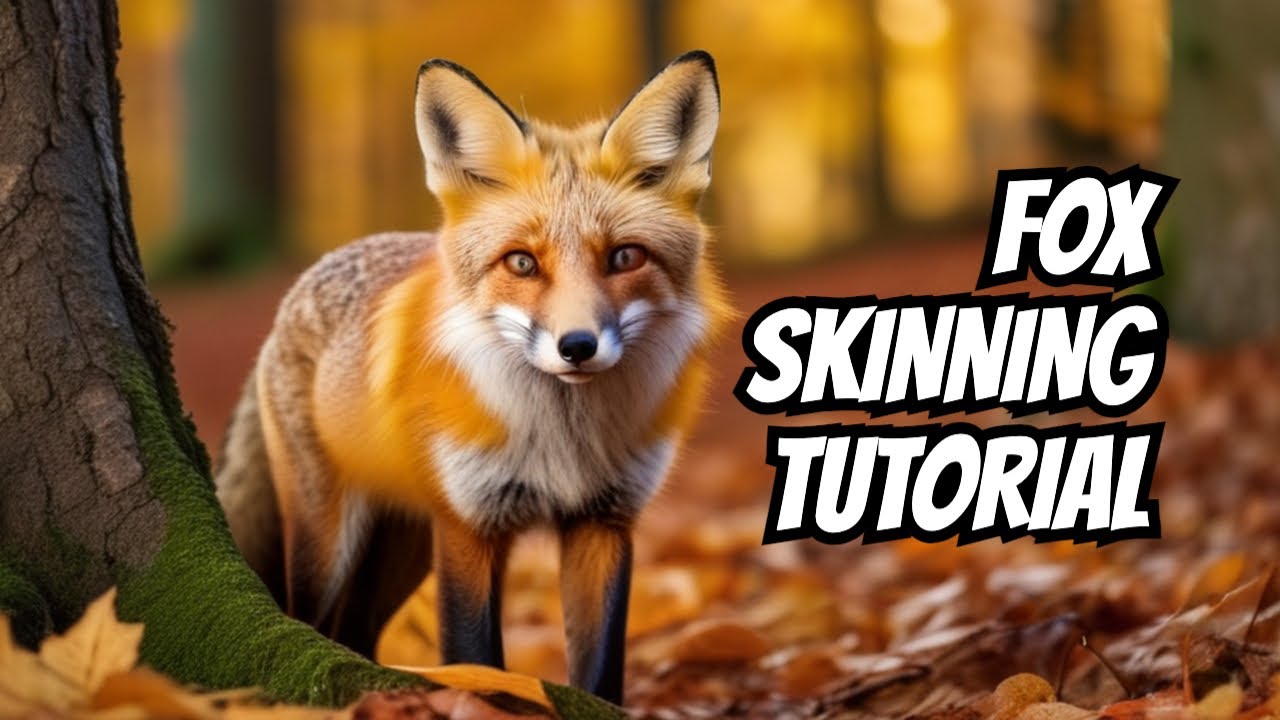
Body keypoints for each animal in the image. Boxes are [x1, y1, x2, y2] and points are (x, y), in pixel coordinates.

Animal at [213, 50, 731, 703]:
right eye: (522, 263)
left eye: (625, 257)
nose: (577, 347)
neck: (563, 443)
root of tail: (296, 291)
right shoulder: (469, 523)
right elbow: (477, 661)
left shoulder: (604, 521)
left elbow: (600, 671)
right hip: (329, 539)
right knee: (310, 620)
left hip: (403, 549)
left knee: (355, 632)